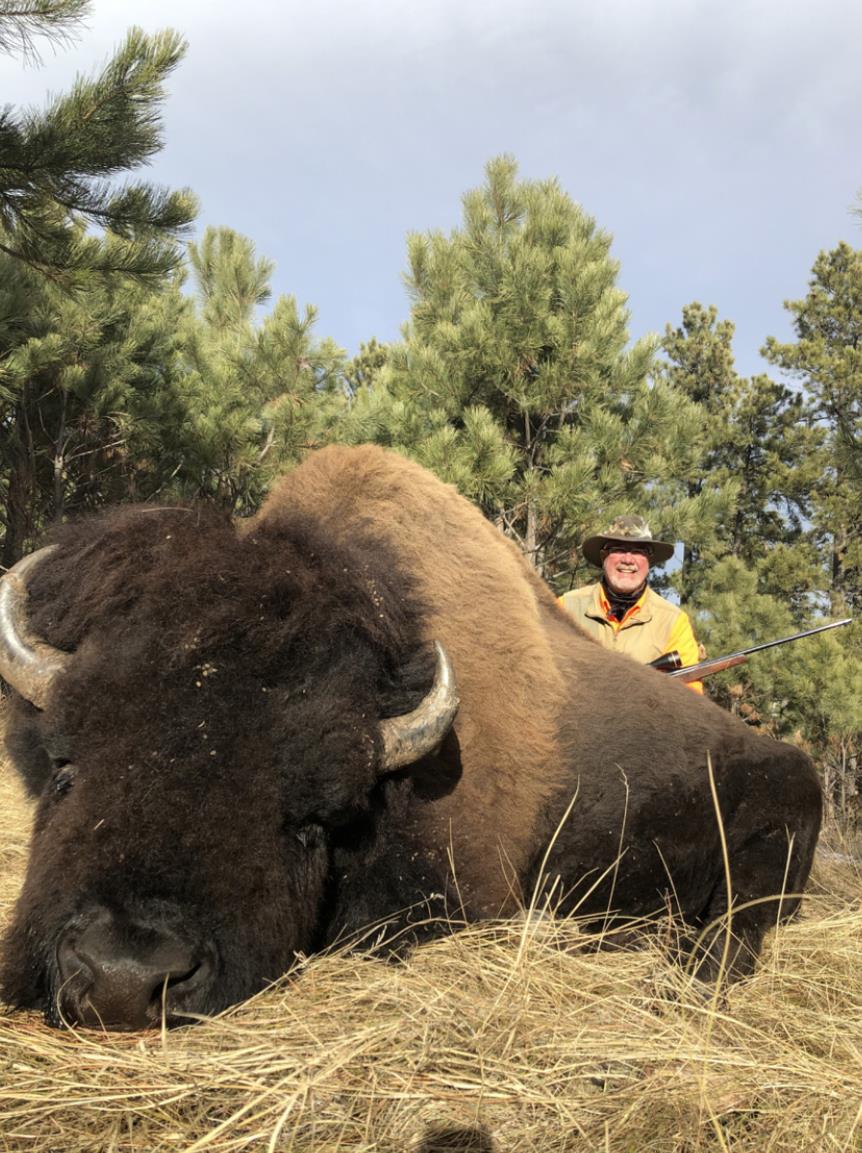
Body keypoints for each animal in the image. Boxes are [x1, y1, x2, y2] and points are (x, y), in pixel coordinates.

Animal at [0, 445, 822, 1030]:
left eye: (310, 821)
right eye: (65, 769)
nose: (122, 980)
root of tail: (795, 763)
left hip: (769, 847)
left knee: (733, 933)